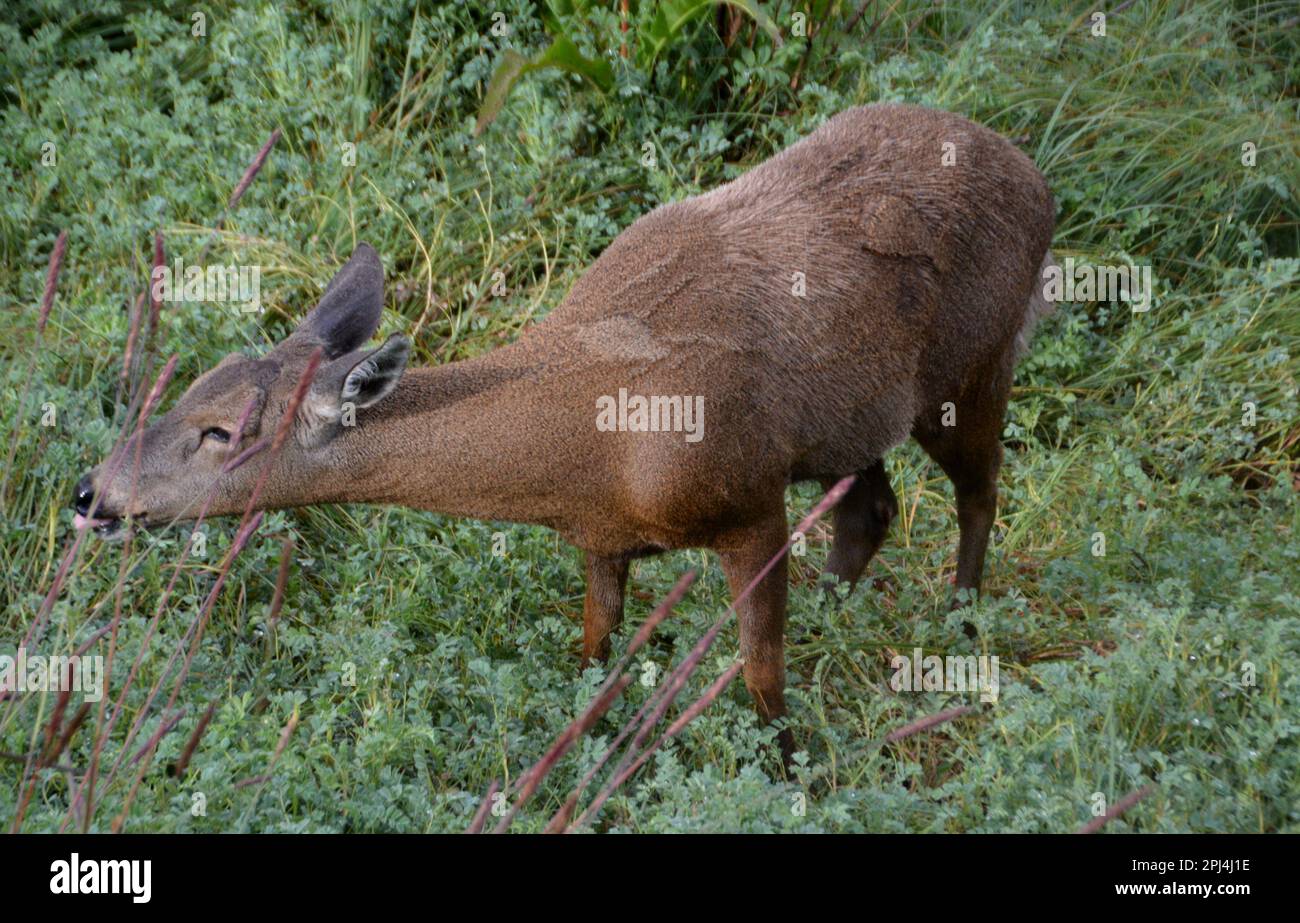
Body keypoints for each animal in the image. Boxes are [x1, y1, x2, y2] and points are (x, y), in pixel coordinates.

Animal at [75, 104, 1055, 759]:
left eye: (221, 430)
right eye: (192, 384)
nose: (91, 493)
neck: (597, 445)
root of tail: (1039, 182)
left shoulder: (747, 502)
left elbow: (762, 682)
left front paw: (787, 766)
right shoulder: (602, 539)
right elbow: (593, 655)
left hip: (975, 364)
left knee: (980, 490)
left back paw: (961, 625)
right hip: (850, 427)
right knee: (874, 506)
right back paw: (845, 610)